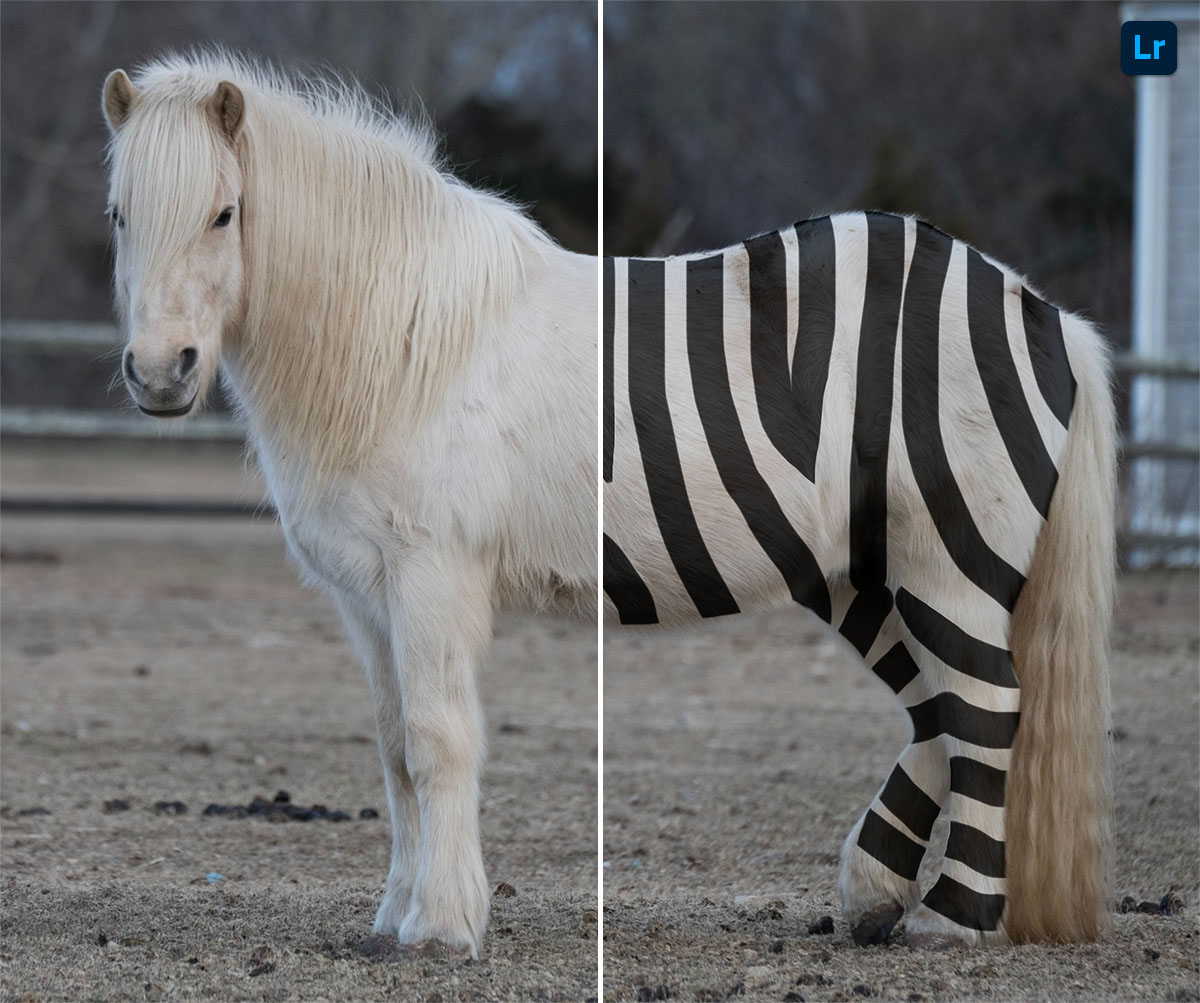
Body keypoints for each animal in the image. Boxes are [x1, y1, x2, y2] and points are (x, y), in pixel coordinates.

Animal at [102, 51, 596, 958]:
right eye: (121, 215)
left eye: (225, 213)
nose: (159, 371)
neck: (412, 346)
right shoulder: (370, 599)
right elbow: (396, 747)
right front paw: (399, 913)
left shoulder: (430, 581)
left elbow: (438, 741)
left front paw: (441, 926)